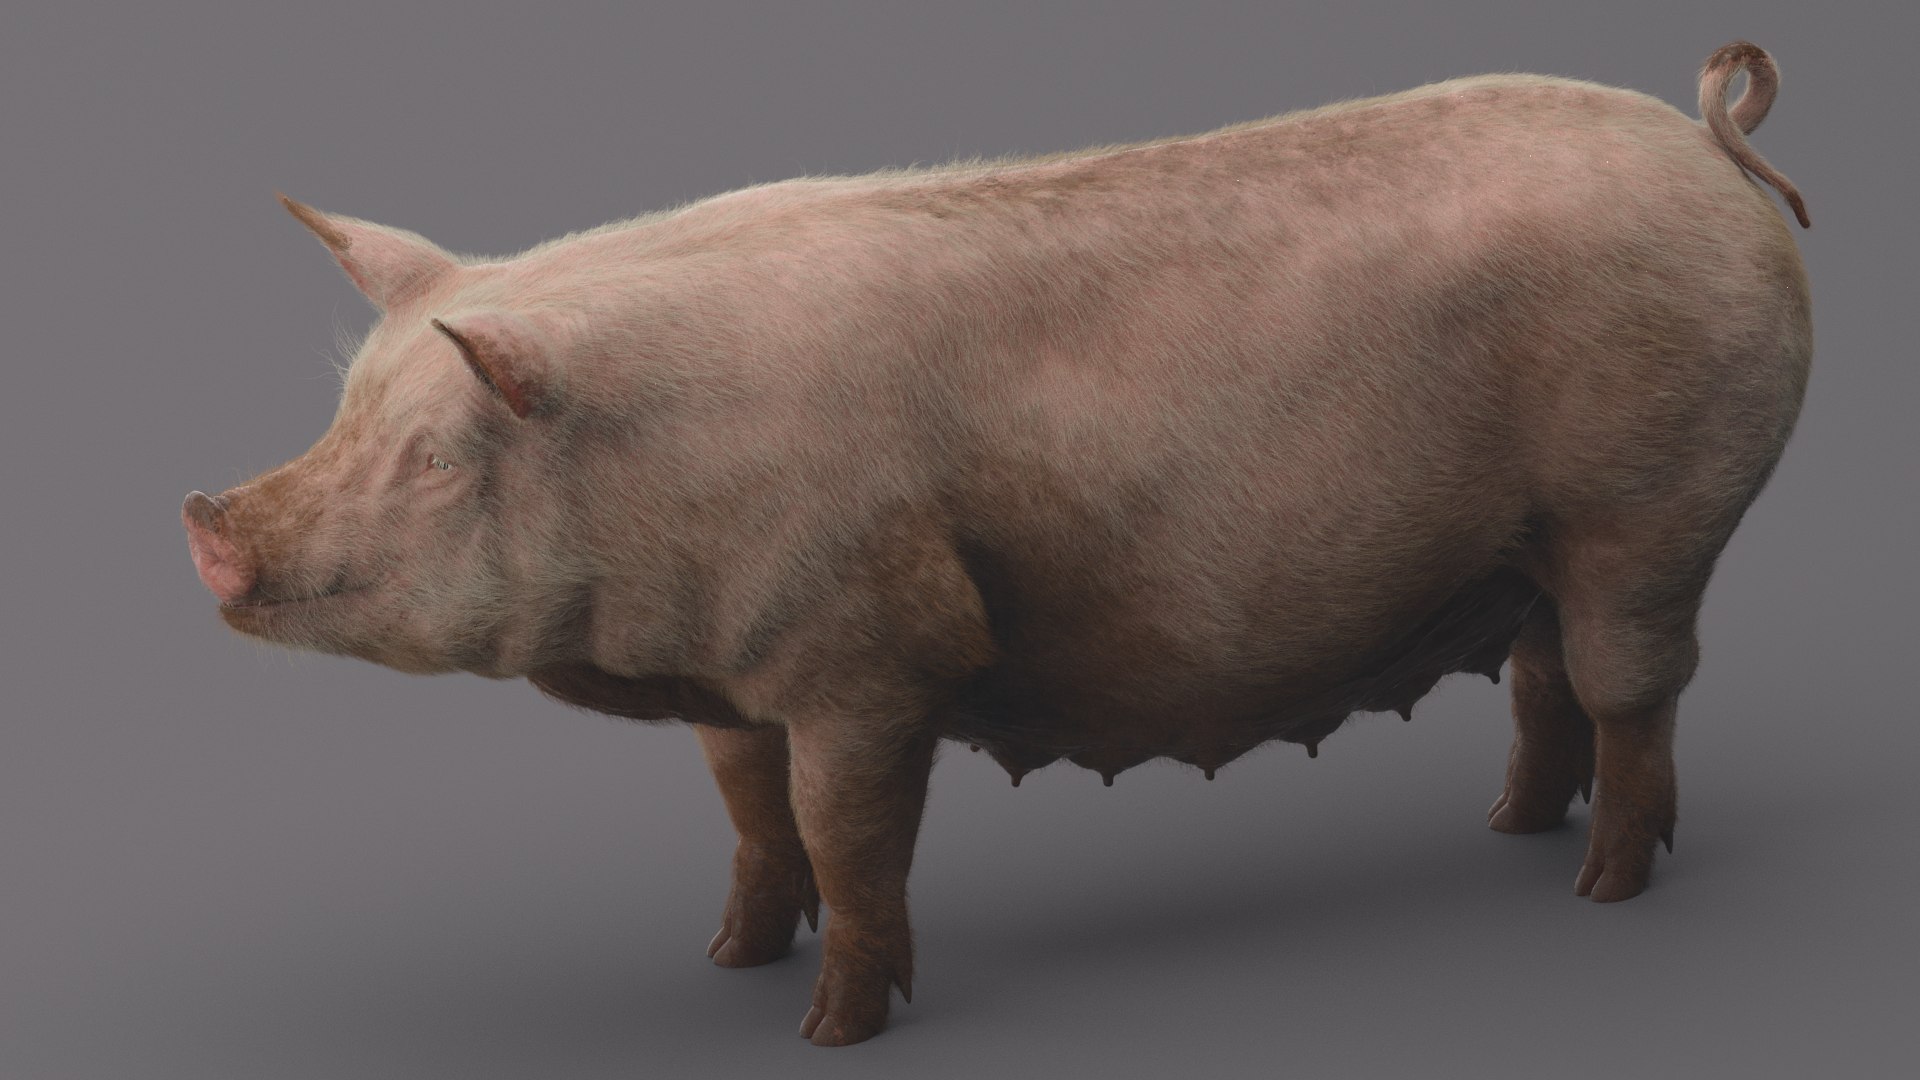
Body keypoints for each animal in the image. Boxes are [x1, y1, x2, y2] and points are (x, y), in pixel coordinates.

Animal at [184, 40, 1811, 1045]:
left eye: (437, 459)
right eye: (345, 408)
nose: (203, 524)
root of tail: (1713, 150)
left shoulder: (872, 653)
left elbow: (849, 835)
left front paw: (829, 1029)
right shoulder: (734, 674)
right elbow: (753, 818)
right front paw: (724, 964)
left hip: (1652, 510)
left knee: (1631, 688)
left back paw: (1602, 889)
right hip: (1532, 548)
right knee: (1545, 683)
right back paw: (1510, 833)